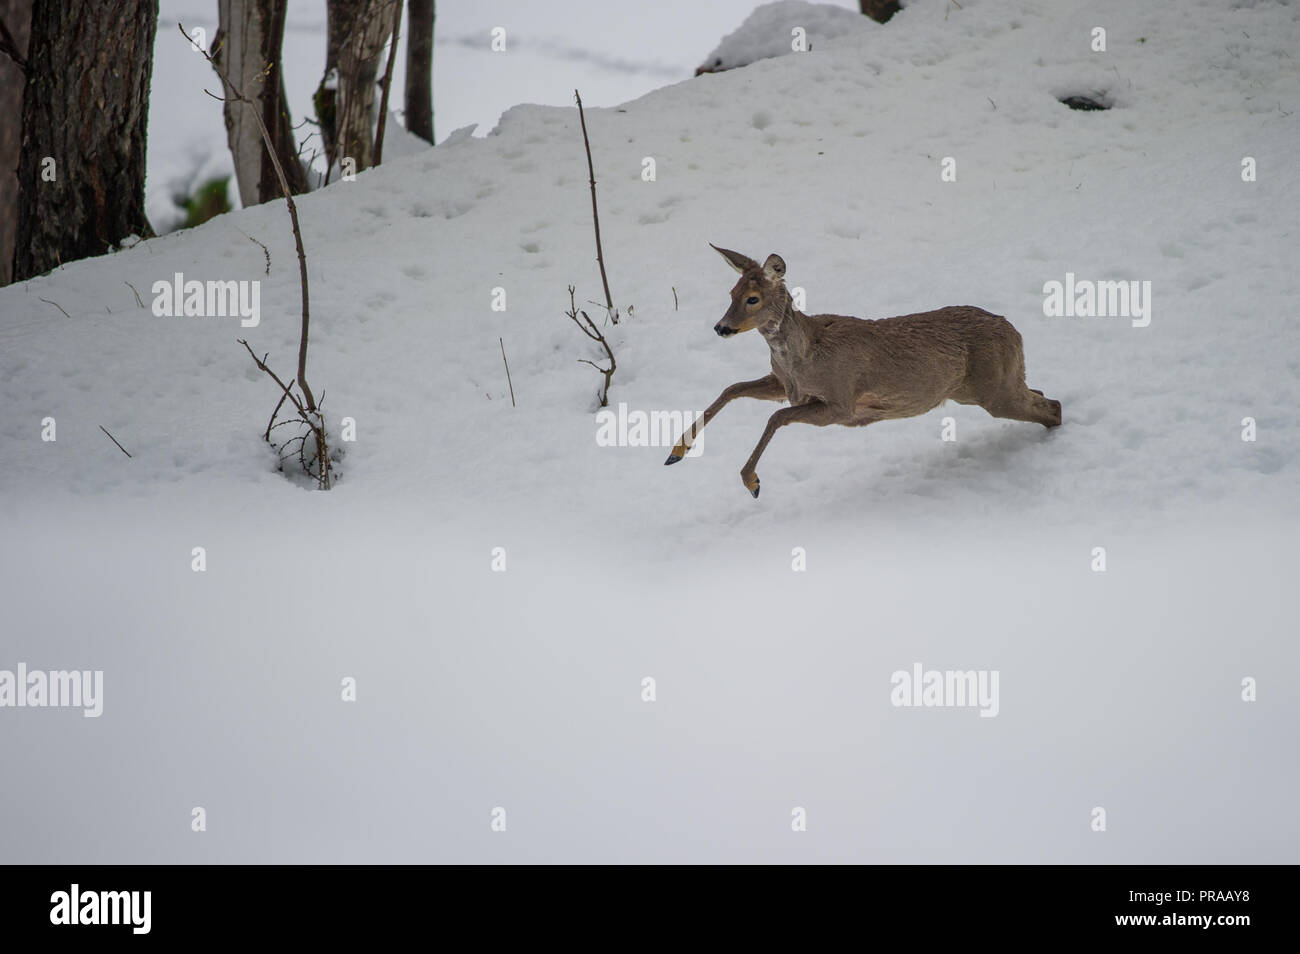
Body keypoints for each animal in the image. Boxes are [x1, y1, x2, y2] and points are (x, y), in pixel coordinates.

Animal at [665, 245, 1062, 497]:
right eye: (730, 292)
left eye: (753, 299)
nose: (721, 328)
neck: (802, 357)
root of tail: (1014, 330)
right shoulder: (784, 384)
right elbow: (731, 388)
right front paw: (676, 451)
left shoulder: (842, 404)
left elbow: (775, 418)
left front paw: (752, 482)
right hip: (986, 385)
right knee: (1042, 394)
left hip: (993, 388)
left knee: (1051, 405)